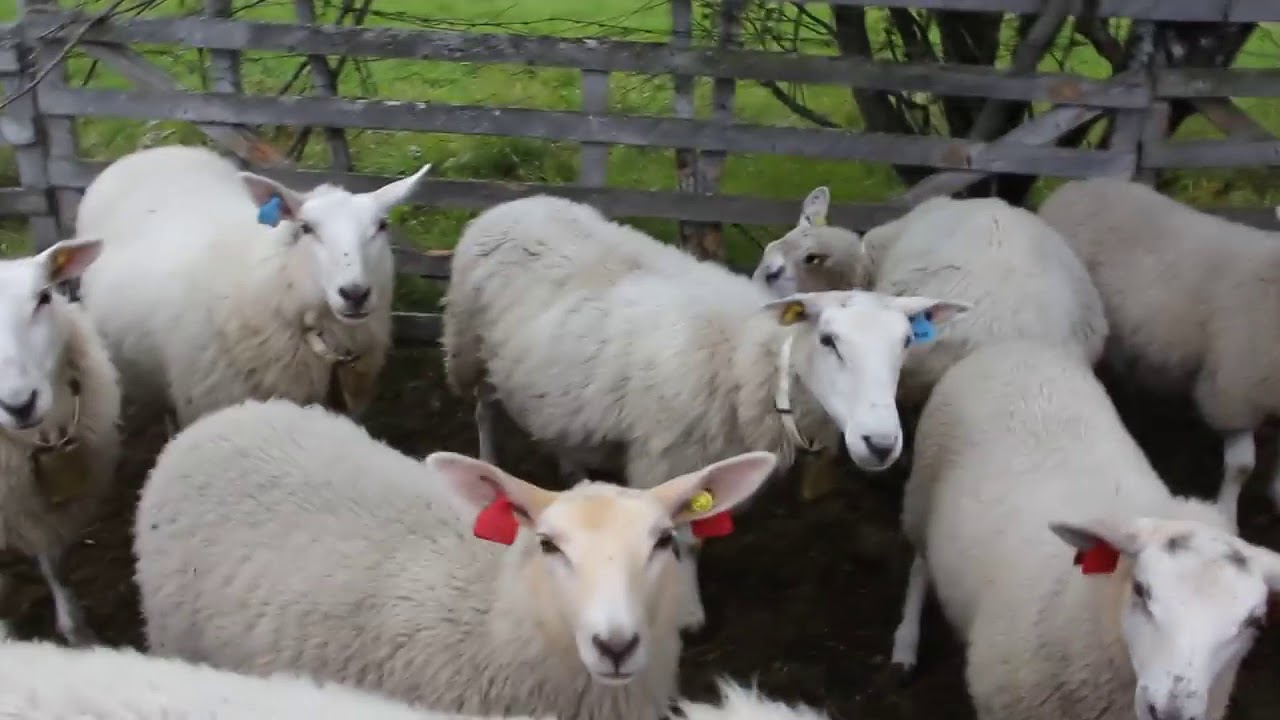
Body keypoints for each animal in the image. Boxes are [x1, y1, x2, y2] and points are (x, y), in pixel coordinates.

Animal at [890, 340, 1280, 720]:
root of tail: (1013, 344)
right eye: (1141, 590)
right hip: (921, 494)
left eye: (1255, 622)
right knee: (919, 565)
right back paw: (906, 644)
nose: (1169, 713)